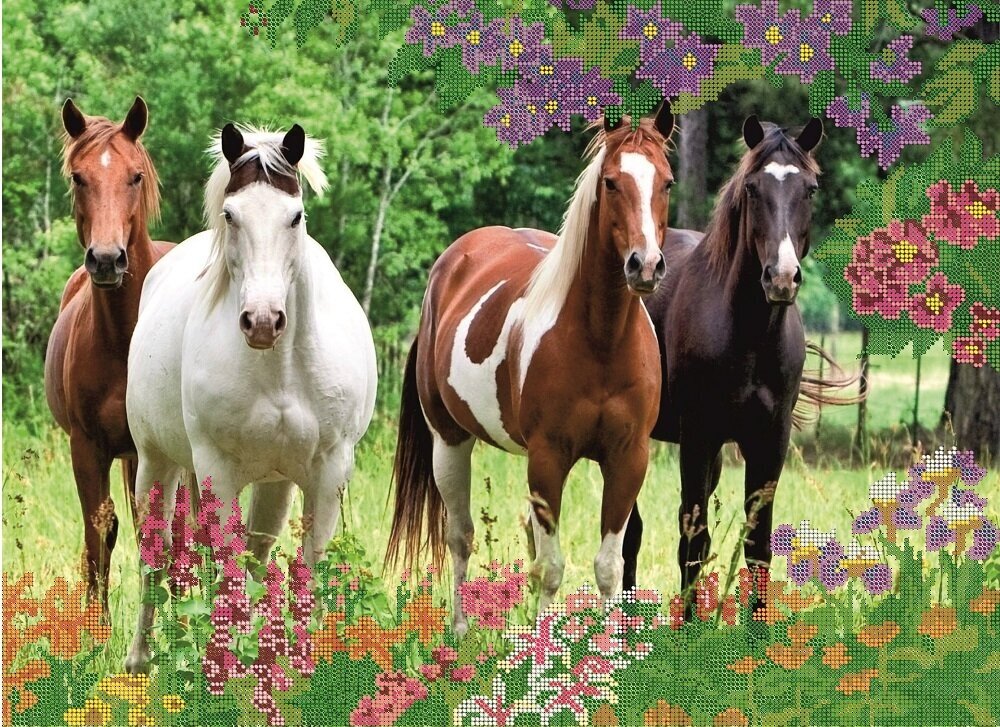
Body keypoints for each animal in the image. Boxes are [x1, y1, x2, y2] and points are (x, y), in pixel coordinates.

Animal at [44, 97, 176, 612]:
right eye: (79, 177)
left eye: (135, 176)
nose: (105, 259)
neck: (123, 339)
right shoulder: (87, 448)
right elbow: (99, 537)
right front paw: (96, 628)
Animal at [124, 123, 377, 672]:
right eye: (230, 214)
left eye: (295, 215)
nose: (263, 321)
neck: (280, 371)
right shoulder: (216, 470)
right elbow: (228, 575)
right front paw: (225, 665)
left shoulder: (328, 472)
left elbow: (303, 572)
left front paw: (298, 666)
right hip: (156, 463)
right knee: (155, 556)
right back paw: (141, 662)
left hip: (273, 484)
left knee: (253, 557)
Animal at [387, 105, 675, 633]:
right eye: (611, 182)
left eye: (666, 181)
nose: (645, 267)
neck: (602, 342)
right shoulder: (548, 458)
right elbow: (551, 568)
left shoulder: (629, 459)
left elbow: (609, 566)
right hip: (448, 440)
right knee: (460, 536)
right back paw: (459, 631)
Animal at [622, 115, 849, 606]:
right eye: (751, 188)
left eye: (810, 189)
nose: (781, 277)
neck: (748, 335)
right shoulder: (698, 435)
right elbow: (692, 541)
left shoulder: (769, 441)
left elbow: (757, 544)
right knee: (630, 532)